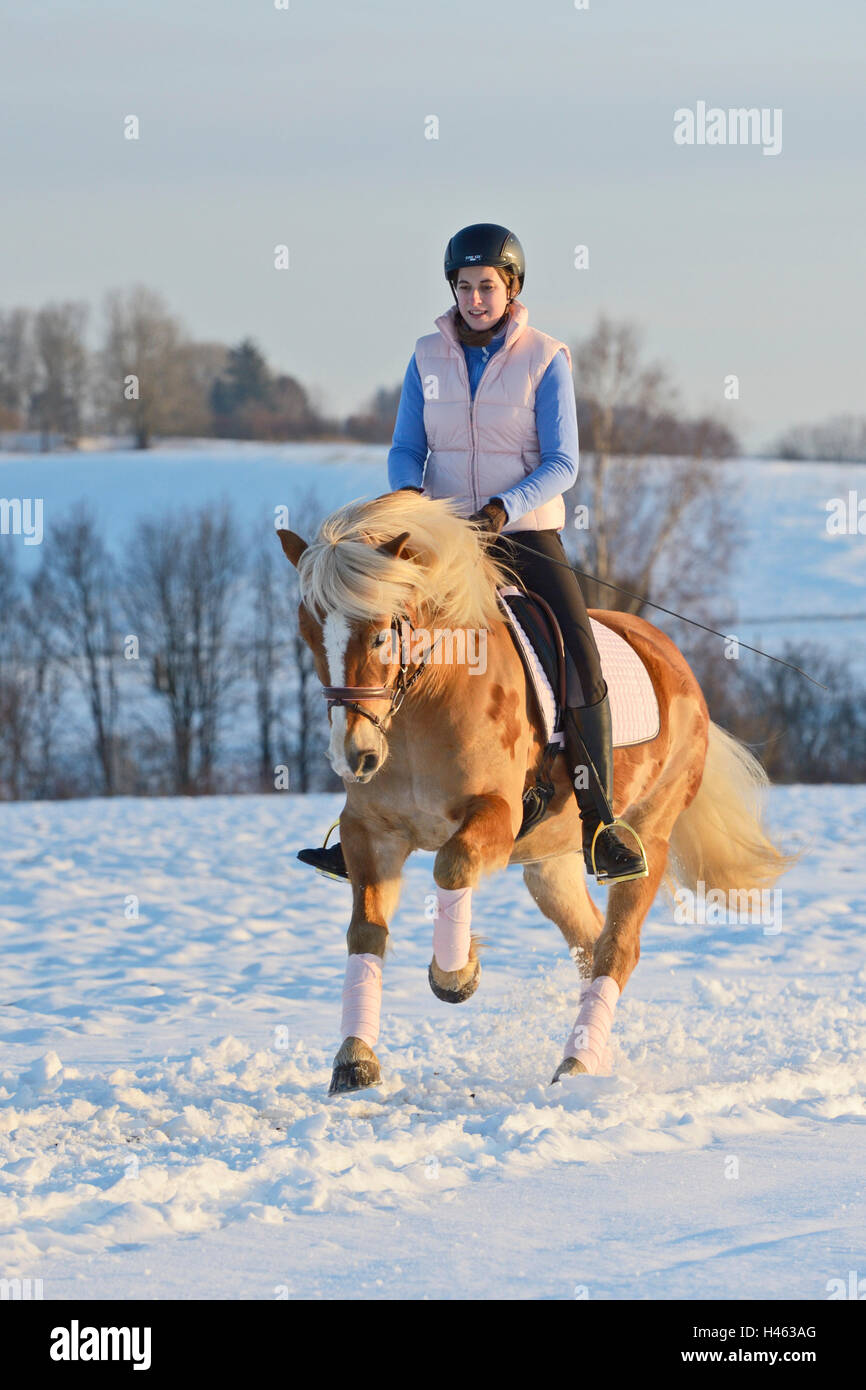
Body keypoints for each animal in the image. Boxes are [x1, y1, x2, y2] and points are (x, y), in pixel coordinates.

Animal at [277, 490, 797, 1095]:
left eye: (382, 633)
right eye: (309, 635)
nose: (354, 757)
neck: (424, 703)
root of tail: (673, 659)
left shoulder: (496, 817)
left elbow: (451, 867)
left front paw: (456, 974)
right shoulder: (371, 833)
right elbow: (365, 931)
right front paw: (355, 1061)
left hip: (649, 835)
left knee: (617, 948)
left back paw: (575, 1063)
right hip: (550, 864)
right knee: (589, 942)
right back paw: (593, 1055)